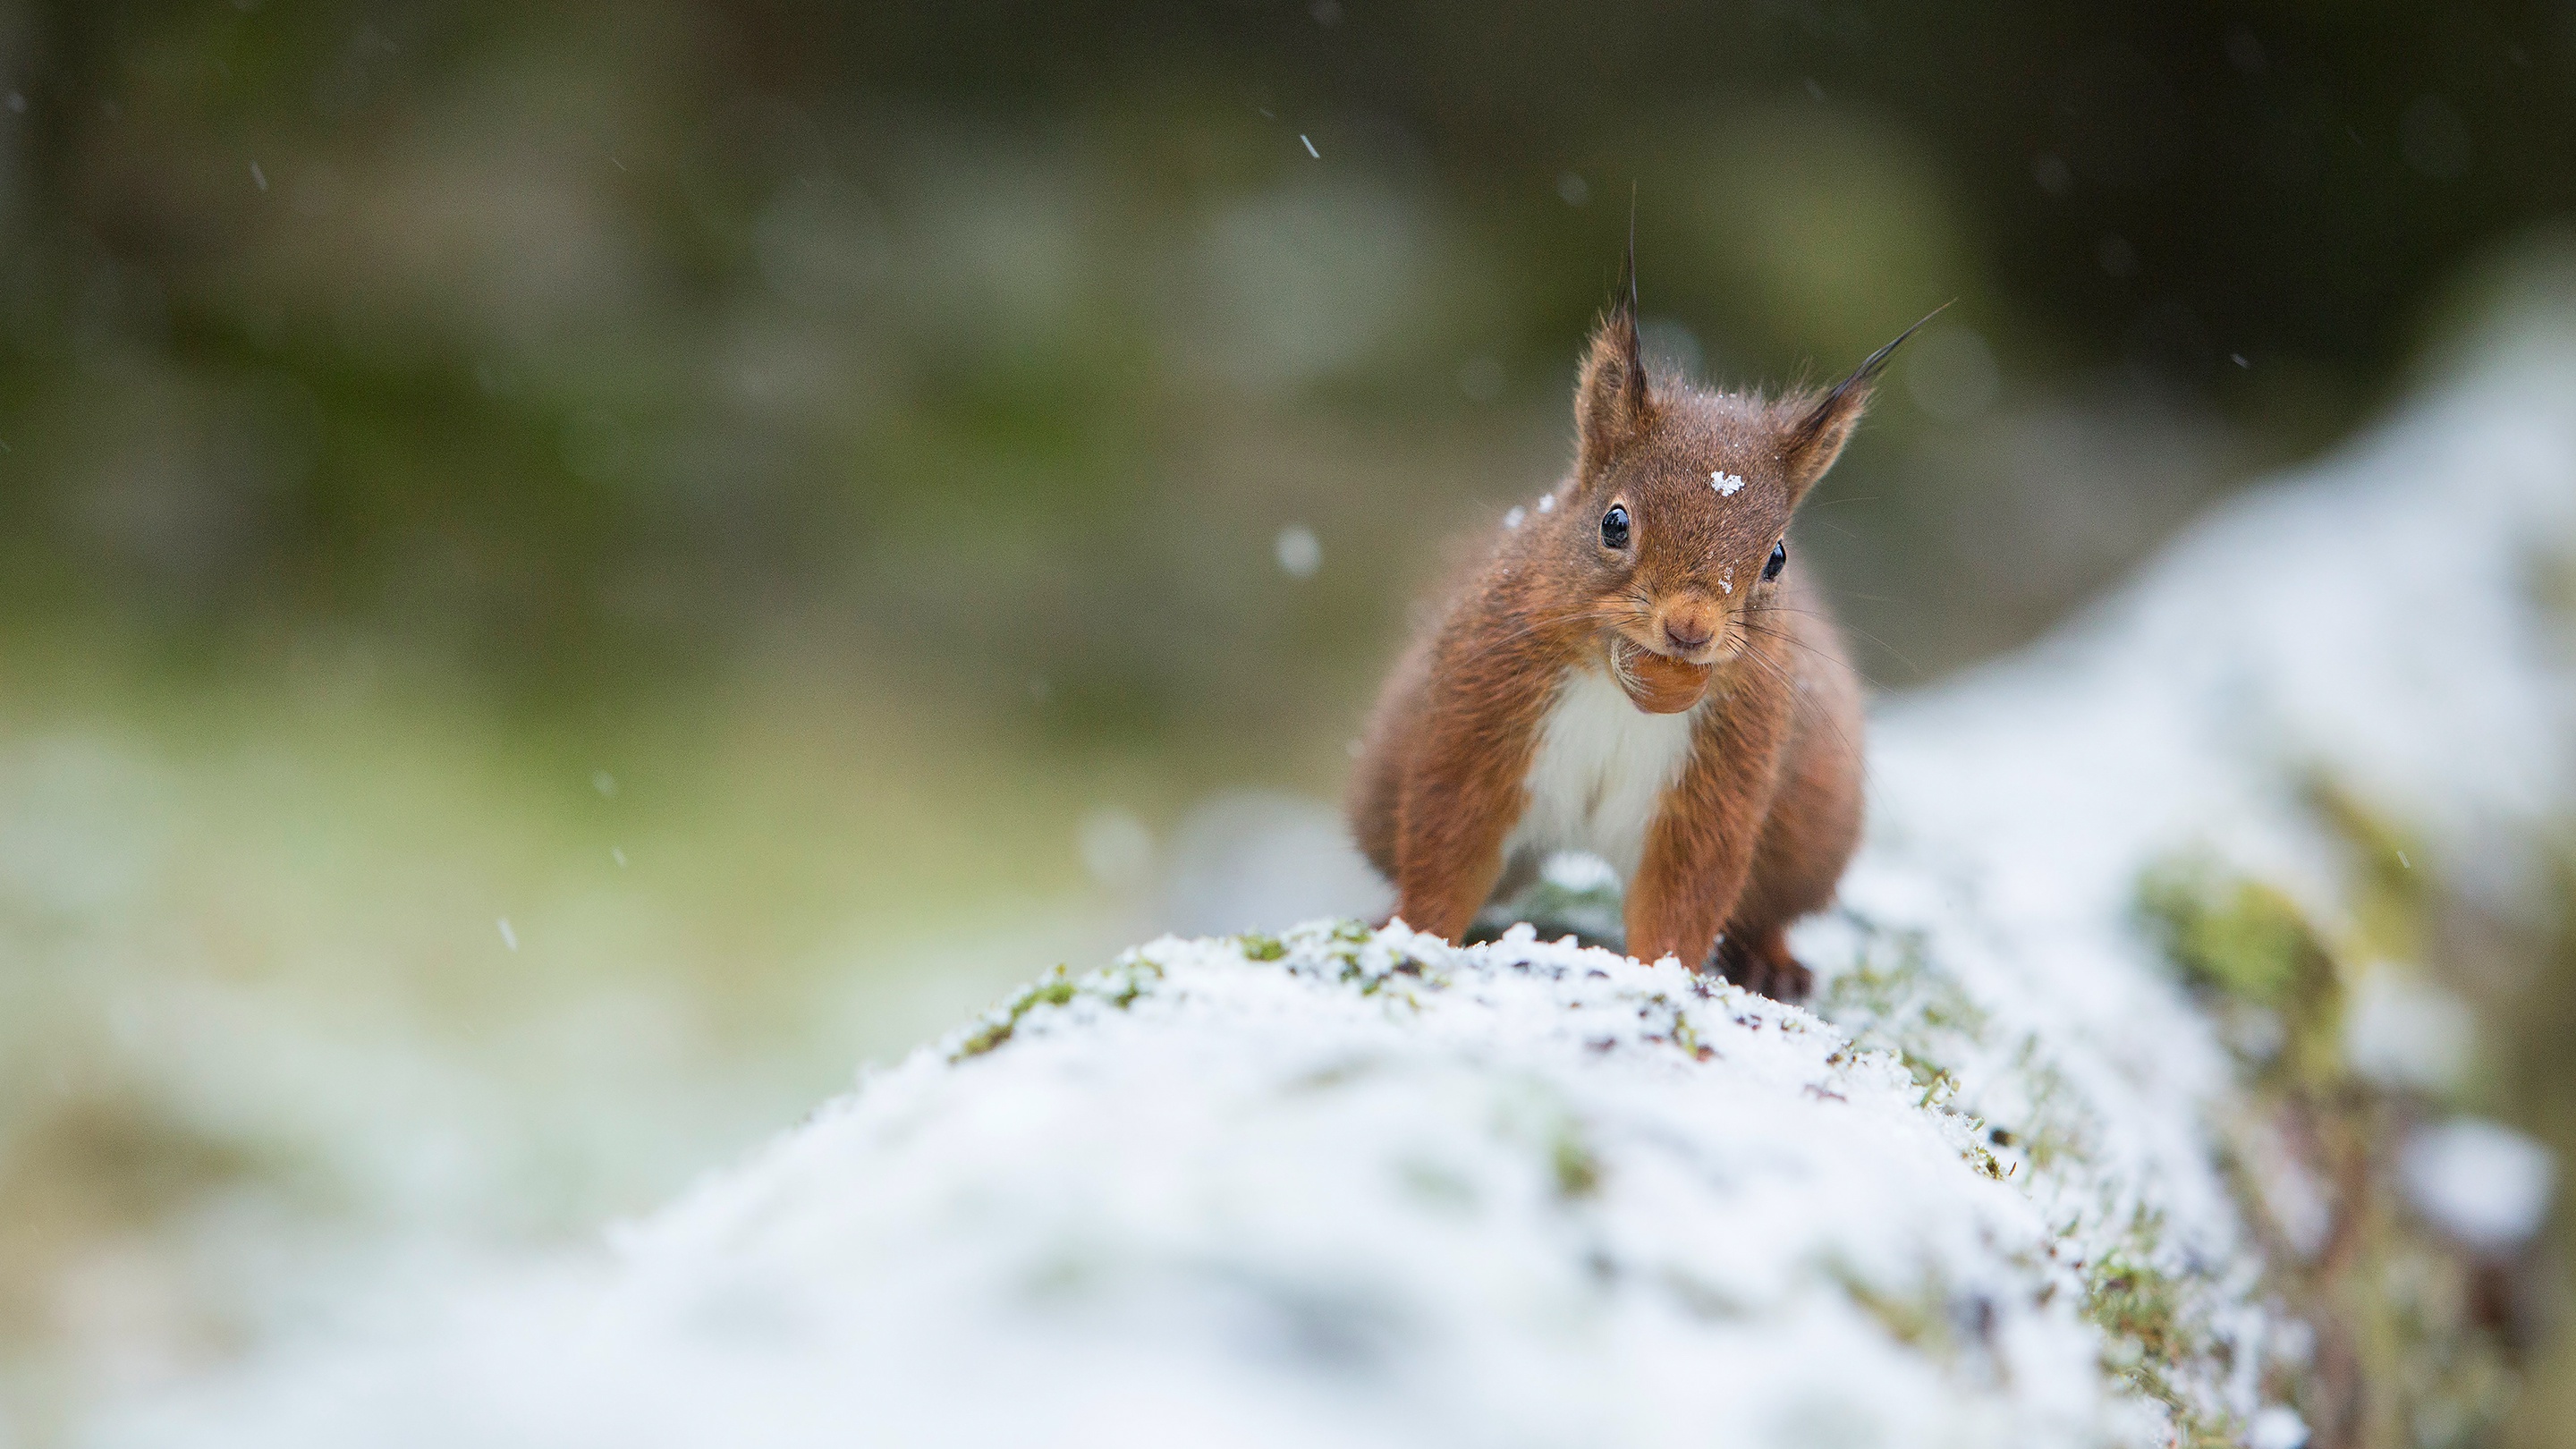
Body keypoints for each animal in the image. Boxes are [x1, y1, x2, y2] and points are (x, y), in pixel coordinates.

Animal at [1347, 262, 1926, 1001]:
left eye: (1777, 557)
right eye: (1613, 523)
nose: (1689, 629)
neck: (1615, 679)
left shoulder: (1721, 774)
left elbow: (1683, 896)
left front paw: (1663, 979)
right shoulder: (1482, 721)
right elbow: (1447, 851)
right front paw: (1415, 937)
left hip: (1809, 834)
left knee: (1765, 910)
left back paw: (1772, 962)